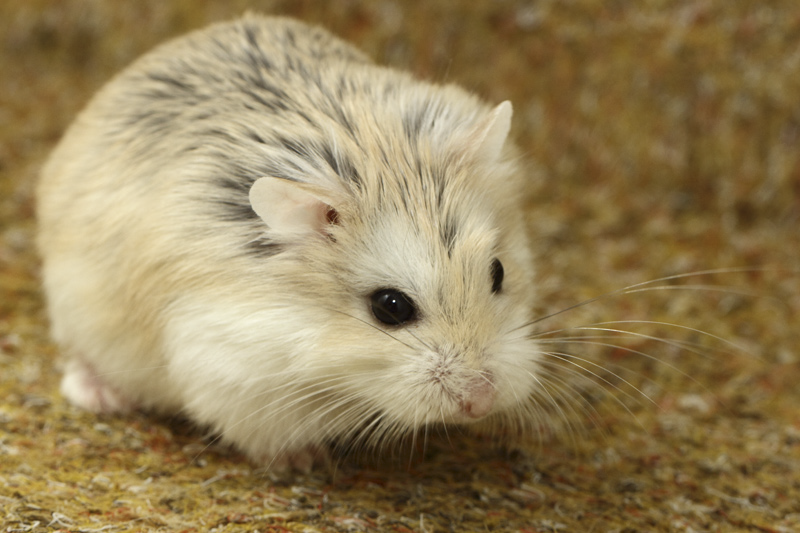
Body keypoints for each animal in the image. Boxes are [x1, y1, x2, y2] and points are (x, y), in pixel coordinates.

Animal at [37, 14, 539, 470]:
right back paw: (97, 394)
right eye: (390, 307)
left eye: (498, 272)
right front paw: (304, 462)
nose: (481, 401)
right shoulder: (232, 374)